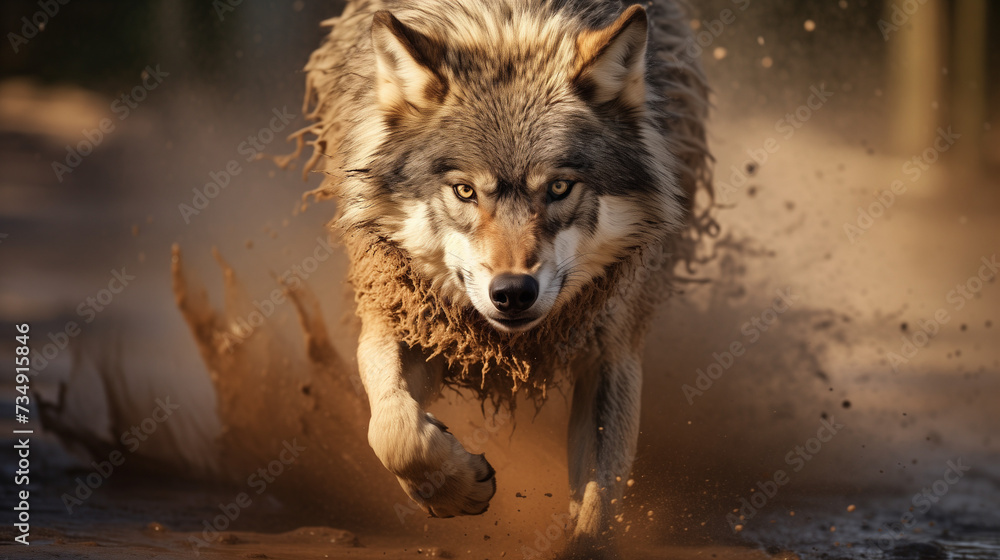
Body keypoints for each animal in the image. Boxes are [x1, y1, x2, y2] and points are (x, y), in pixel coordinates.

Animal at [294, 0, 711, 557]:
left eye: (559, 188)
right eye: (465, 191)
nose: (513, 293)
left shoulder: (612, 354)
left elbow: (598, 507)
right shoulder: (405, 319)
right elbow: (394, 432)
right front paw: (456, 489)